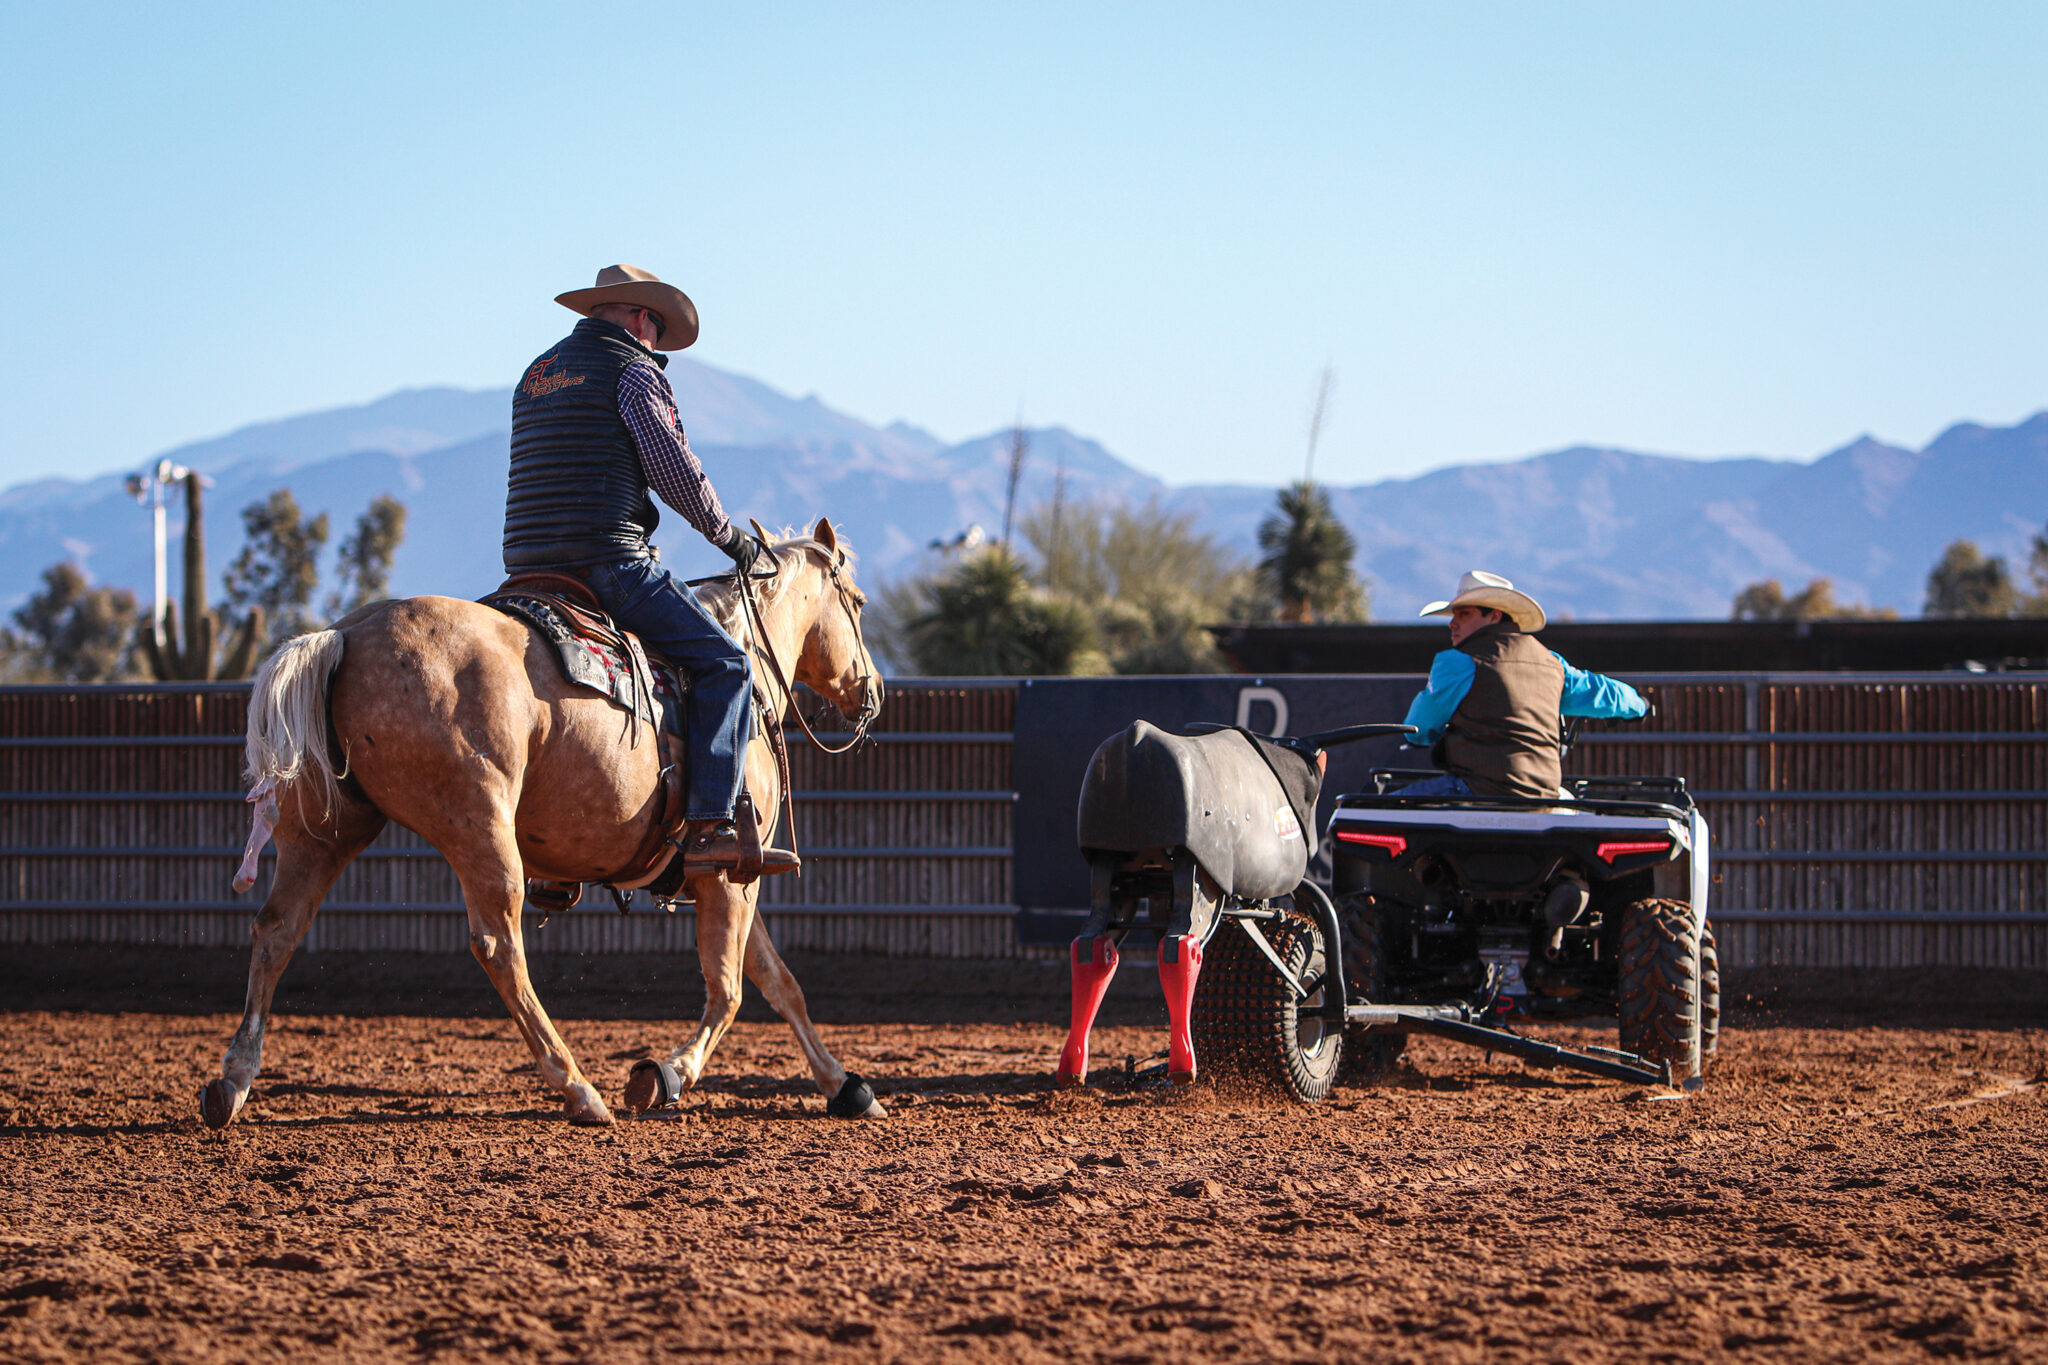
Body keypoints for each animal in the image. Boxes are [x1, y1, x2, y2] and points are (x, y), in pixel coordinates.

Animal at [198, 518, 885, 1129]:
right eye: (856, 601)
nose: (872, 692)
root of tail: (345, 636)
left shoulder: (734, 875)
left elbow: (778, 981)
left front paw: (845, 1086)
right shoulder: (730, 875)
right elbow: (731, 989)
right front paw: (664, 1076)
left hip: (326, 830)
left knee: (277, 929)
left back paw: (232, 1082)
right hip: (479, 828)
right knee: (501, 948)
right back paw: (578, 1089)